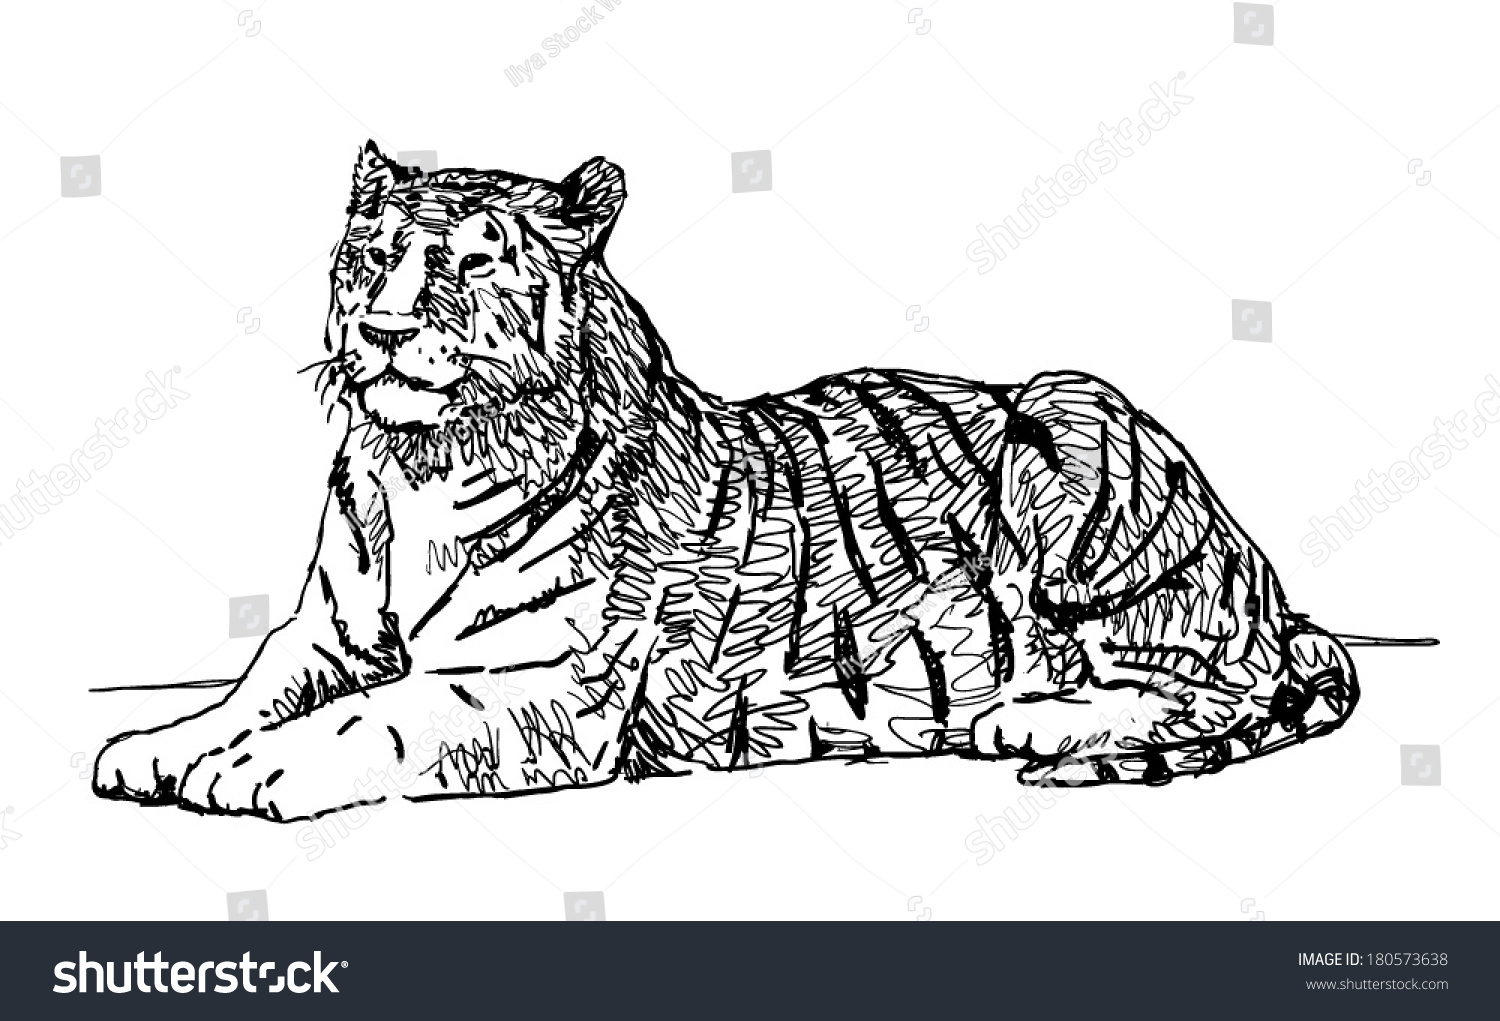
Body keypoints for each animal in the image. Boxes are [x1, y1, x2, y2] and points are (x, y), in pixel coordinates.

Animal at [94, 141, 1364, 821]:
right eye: (373, 256)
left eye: (472, 264)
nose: (385, 328)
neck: (421, 466)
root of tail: (1264, 583)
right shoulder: (326, 630)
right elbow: (263, 679)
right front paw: (165, 742)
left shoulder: (542, 682)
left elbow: (390, 712)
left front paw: (247, 769)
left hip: (1075, 422)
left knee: (1210, 687)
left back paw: (1032, 719)